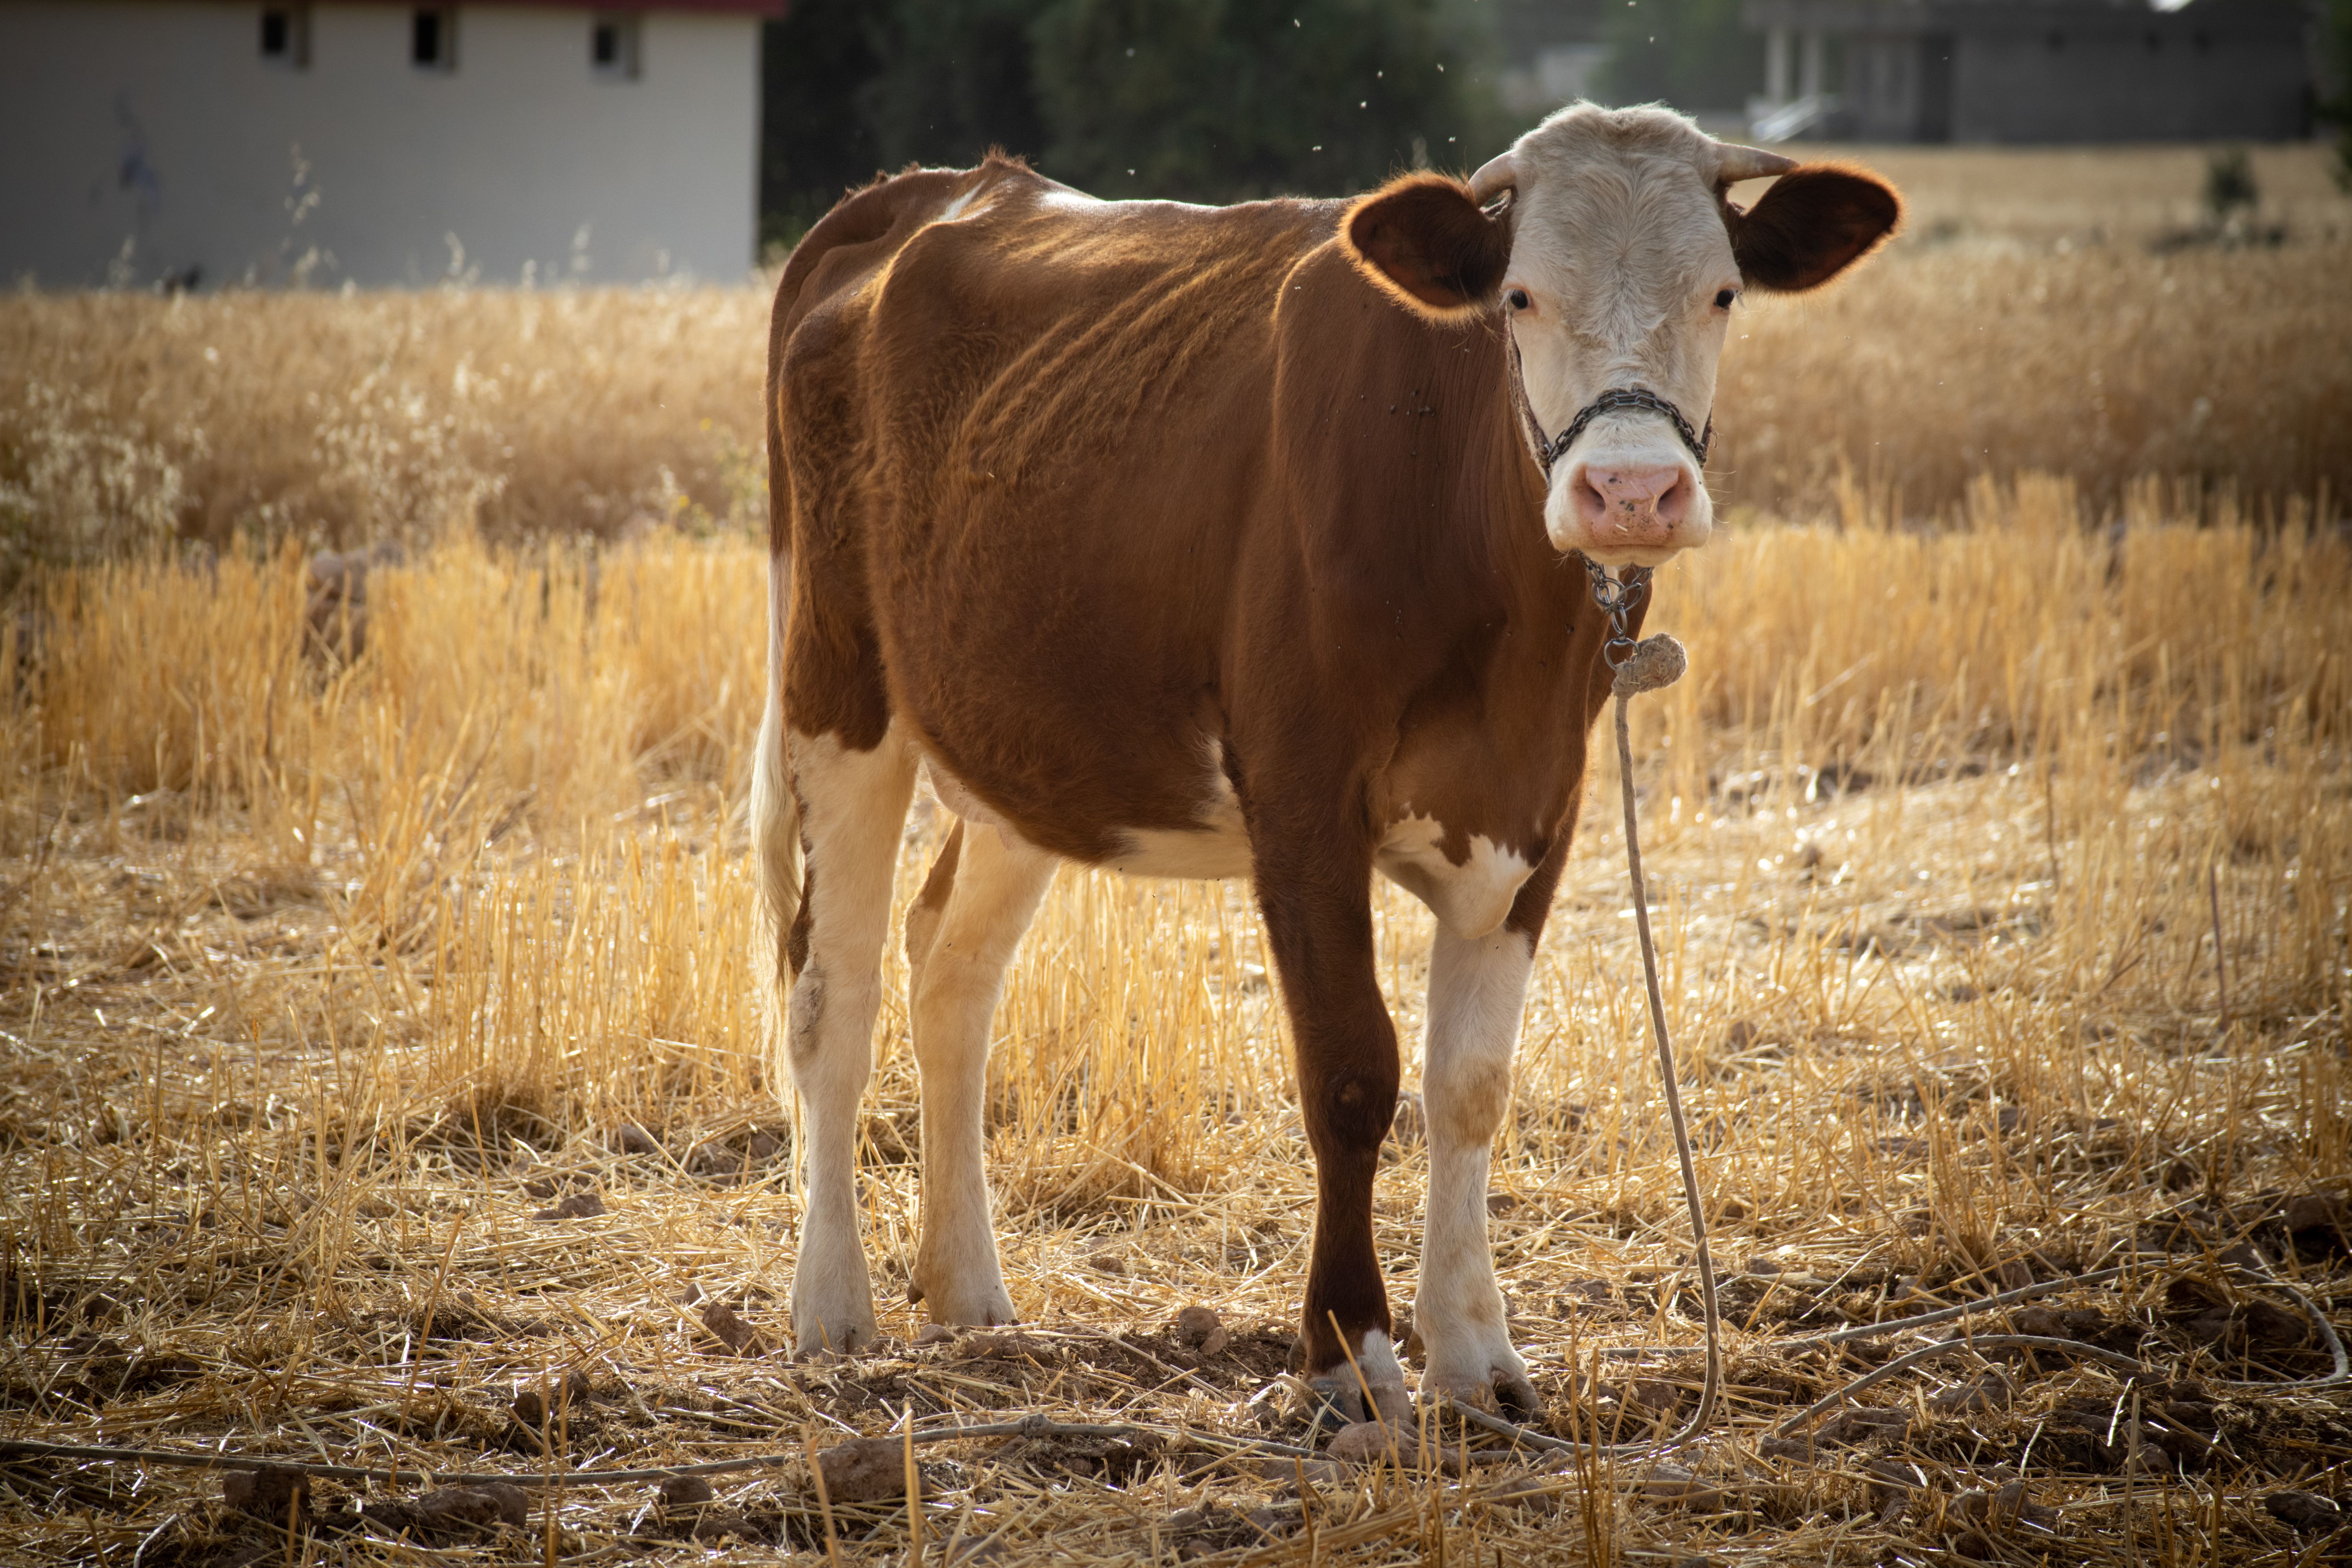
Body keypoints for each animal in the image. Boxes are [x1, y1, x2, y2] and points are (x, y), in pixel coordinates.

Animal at [751, 103, 1899, 1423]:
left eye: (1721, 293)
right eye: (1518, 297)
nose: (1629, 489)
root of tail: (923, 193)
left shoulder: (1538, 810)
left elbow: (1469, 1084)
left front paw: (1475, 1357)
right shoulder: (1301, 801)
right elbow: (1353, 1073)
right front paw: (1348, 1355)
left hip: (1027, 740)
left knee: (951, 970)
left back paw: (968, 1287)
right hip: (835, 691)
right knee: (830, 994)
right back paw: (831, 1306)